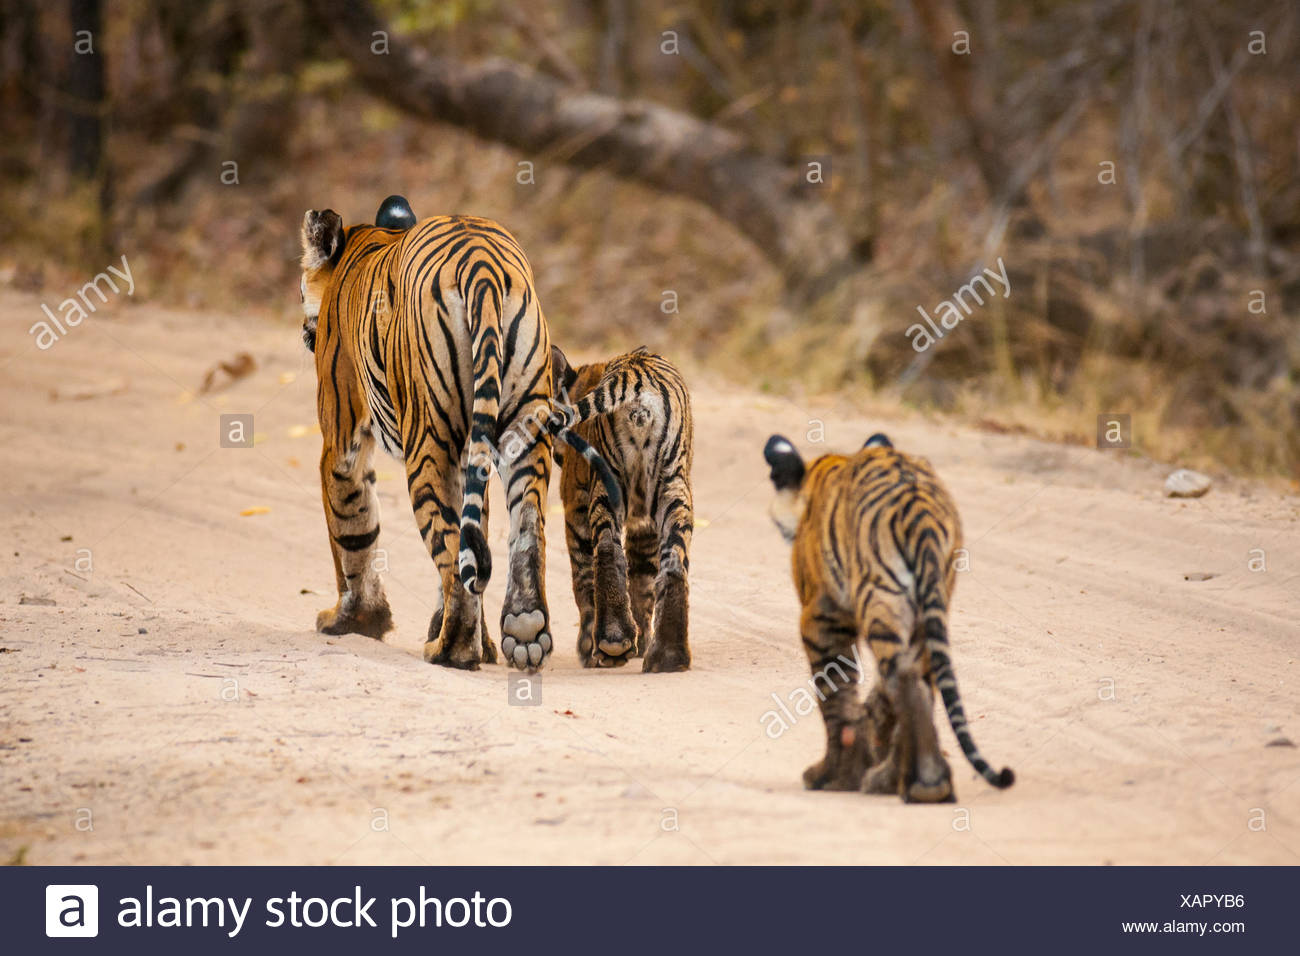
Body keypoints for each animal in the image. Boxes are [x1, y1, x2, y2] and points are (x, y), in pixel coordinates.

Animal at [299, 195, 619, 672]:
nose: (304, 331)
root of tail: (482, 266)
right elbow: (476, 528)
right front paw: (483, 642)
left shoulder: (341, 438)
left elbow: (351, 530)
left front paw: (355, 620)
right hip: (523, 429)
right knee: (524, 530)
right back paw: (524, 631)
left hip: (429, 441)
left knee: (449, 549)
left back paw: (451, 649)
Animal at [550, 346, 694, 672]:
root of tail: (634, 374)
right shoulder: (645, 522)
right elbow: (642, 580)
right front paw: (641, 642)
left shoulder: (574, 505)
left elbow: (582, 577)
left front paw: (588, 647)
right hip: (674, 489)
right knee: (673, 559)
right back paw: (668, 655)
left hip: (606, 484)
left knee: (605, 547)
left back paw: (612, 642)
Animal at [763, 431, 1014, 802]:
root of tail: (921, 509)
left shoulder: (822, 617)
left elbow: (835, 696)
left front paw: (833, 776)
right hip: (925, 609)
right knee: (921, 681)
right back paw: (901, 780)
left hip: (881, 598)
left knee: (904, 679)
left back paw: (923, 785)